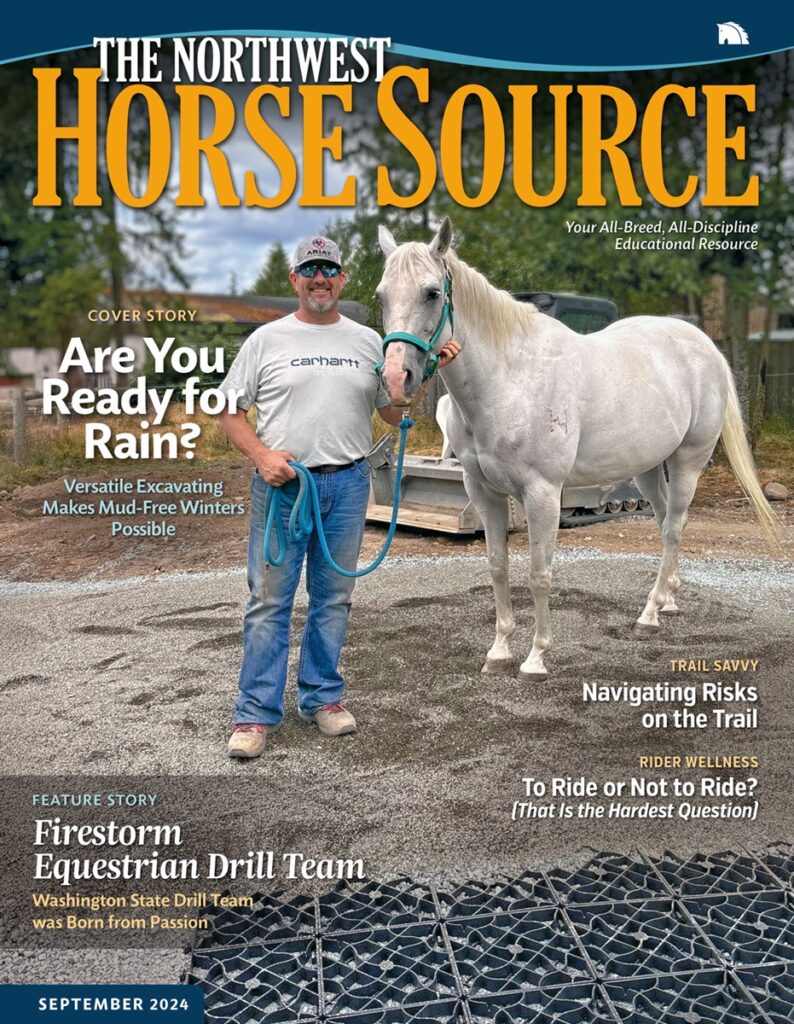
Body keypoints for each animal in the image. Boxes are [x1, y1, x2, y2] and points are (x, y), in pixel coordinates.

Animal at [376, 217, 780, 681]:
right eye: (381, 296)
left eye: (432, 293)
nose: (396, 378)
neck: (509, 378)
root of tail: (704, 345)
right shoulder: (482, 492)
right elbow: (498, 567)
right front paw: (499, 652)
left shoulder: (544, 494)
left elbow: (539, 574)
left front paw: (536, 658)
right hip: (646, 468)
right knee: (665, 526)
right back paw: (666, 603)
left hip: (688, 463)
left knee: (674, 528)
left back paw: (648, 616)